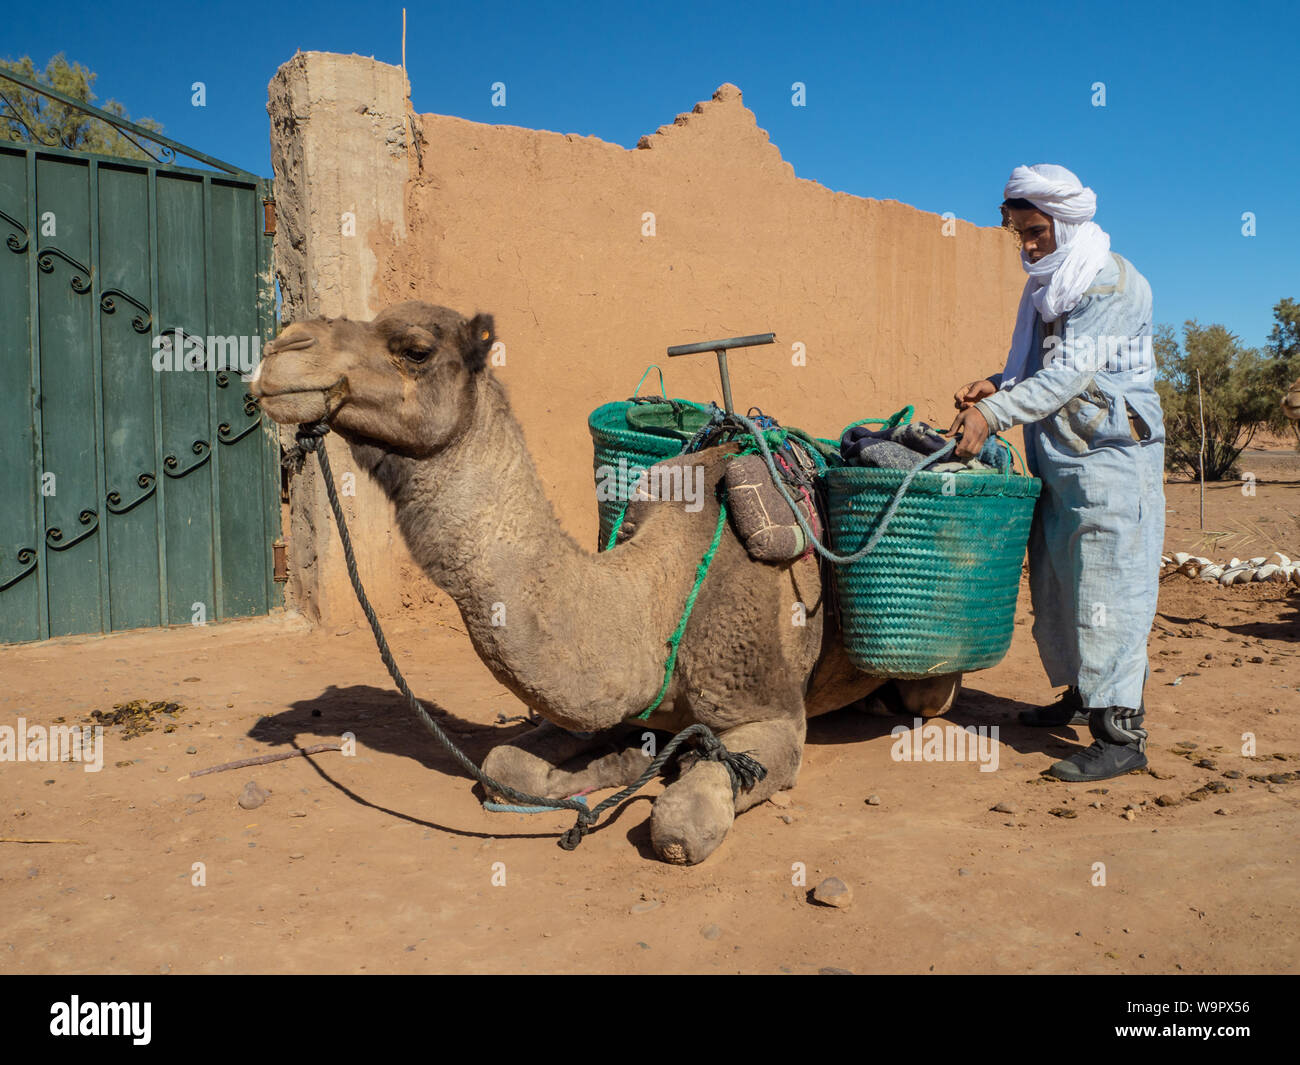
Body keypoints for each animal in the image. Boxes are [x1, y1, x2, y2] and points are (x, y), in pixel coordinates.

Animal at [251, 301, 961, 864]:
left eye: (415, 349)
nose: (283, 348)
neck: (654, 600)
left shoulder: (771, 714)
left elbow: (680, 824)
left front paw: (660, 769)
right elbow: (502, 764)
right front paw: (628, 761)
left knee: (928, 697)